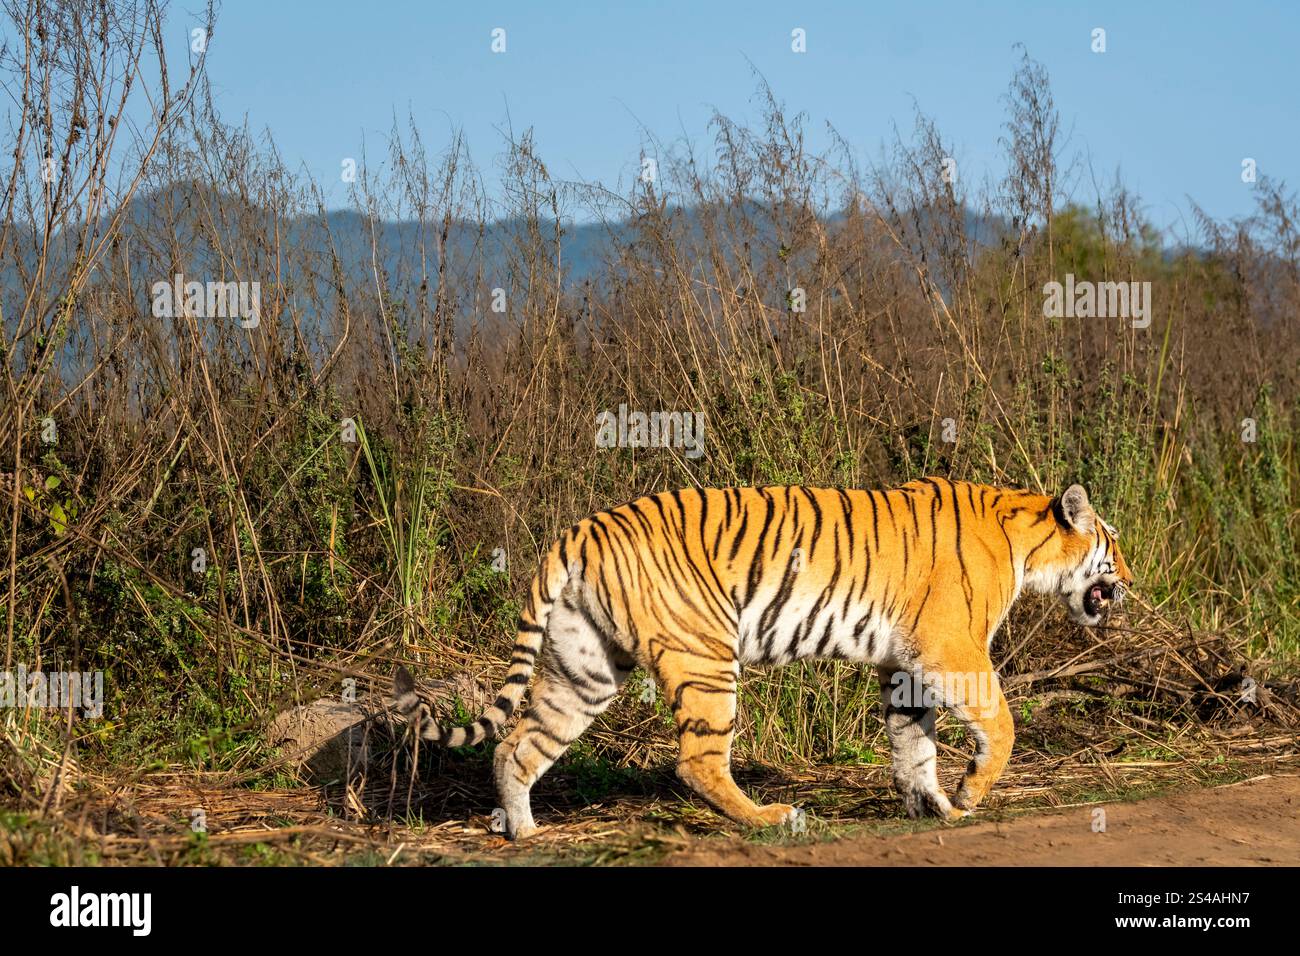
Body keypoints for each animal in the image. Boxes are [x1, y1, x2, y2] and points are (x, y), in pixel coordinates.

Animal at [393, 478, 1133, 838]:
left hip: (585, 667)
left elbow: (911, 745)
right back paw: (774, 820)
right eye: (1114, 543)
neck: (1027, 544)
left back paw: (522, 830)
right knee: (697, 762)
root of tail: (580, 529)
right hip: (705, 657)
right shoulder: (950, 648)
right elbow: (1001, 723)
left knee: (516, 743)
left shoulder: (904, 664)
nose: (1130, 579)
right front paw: (972, 792)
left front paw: (935, 807)